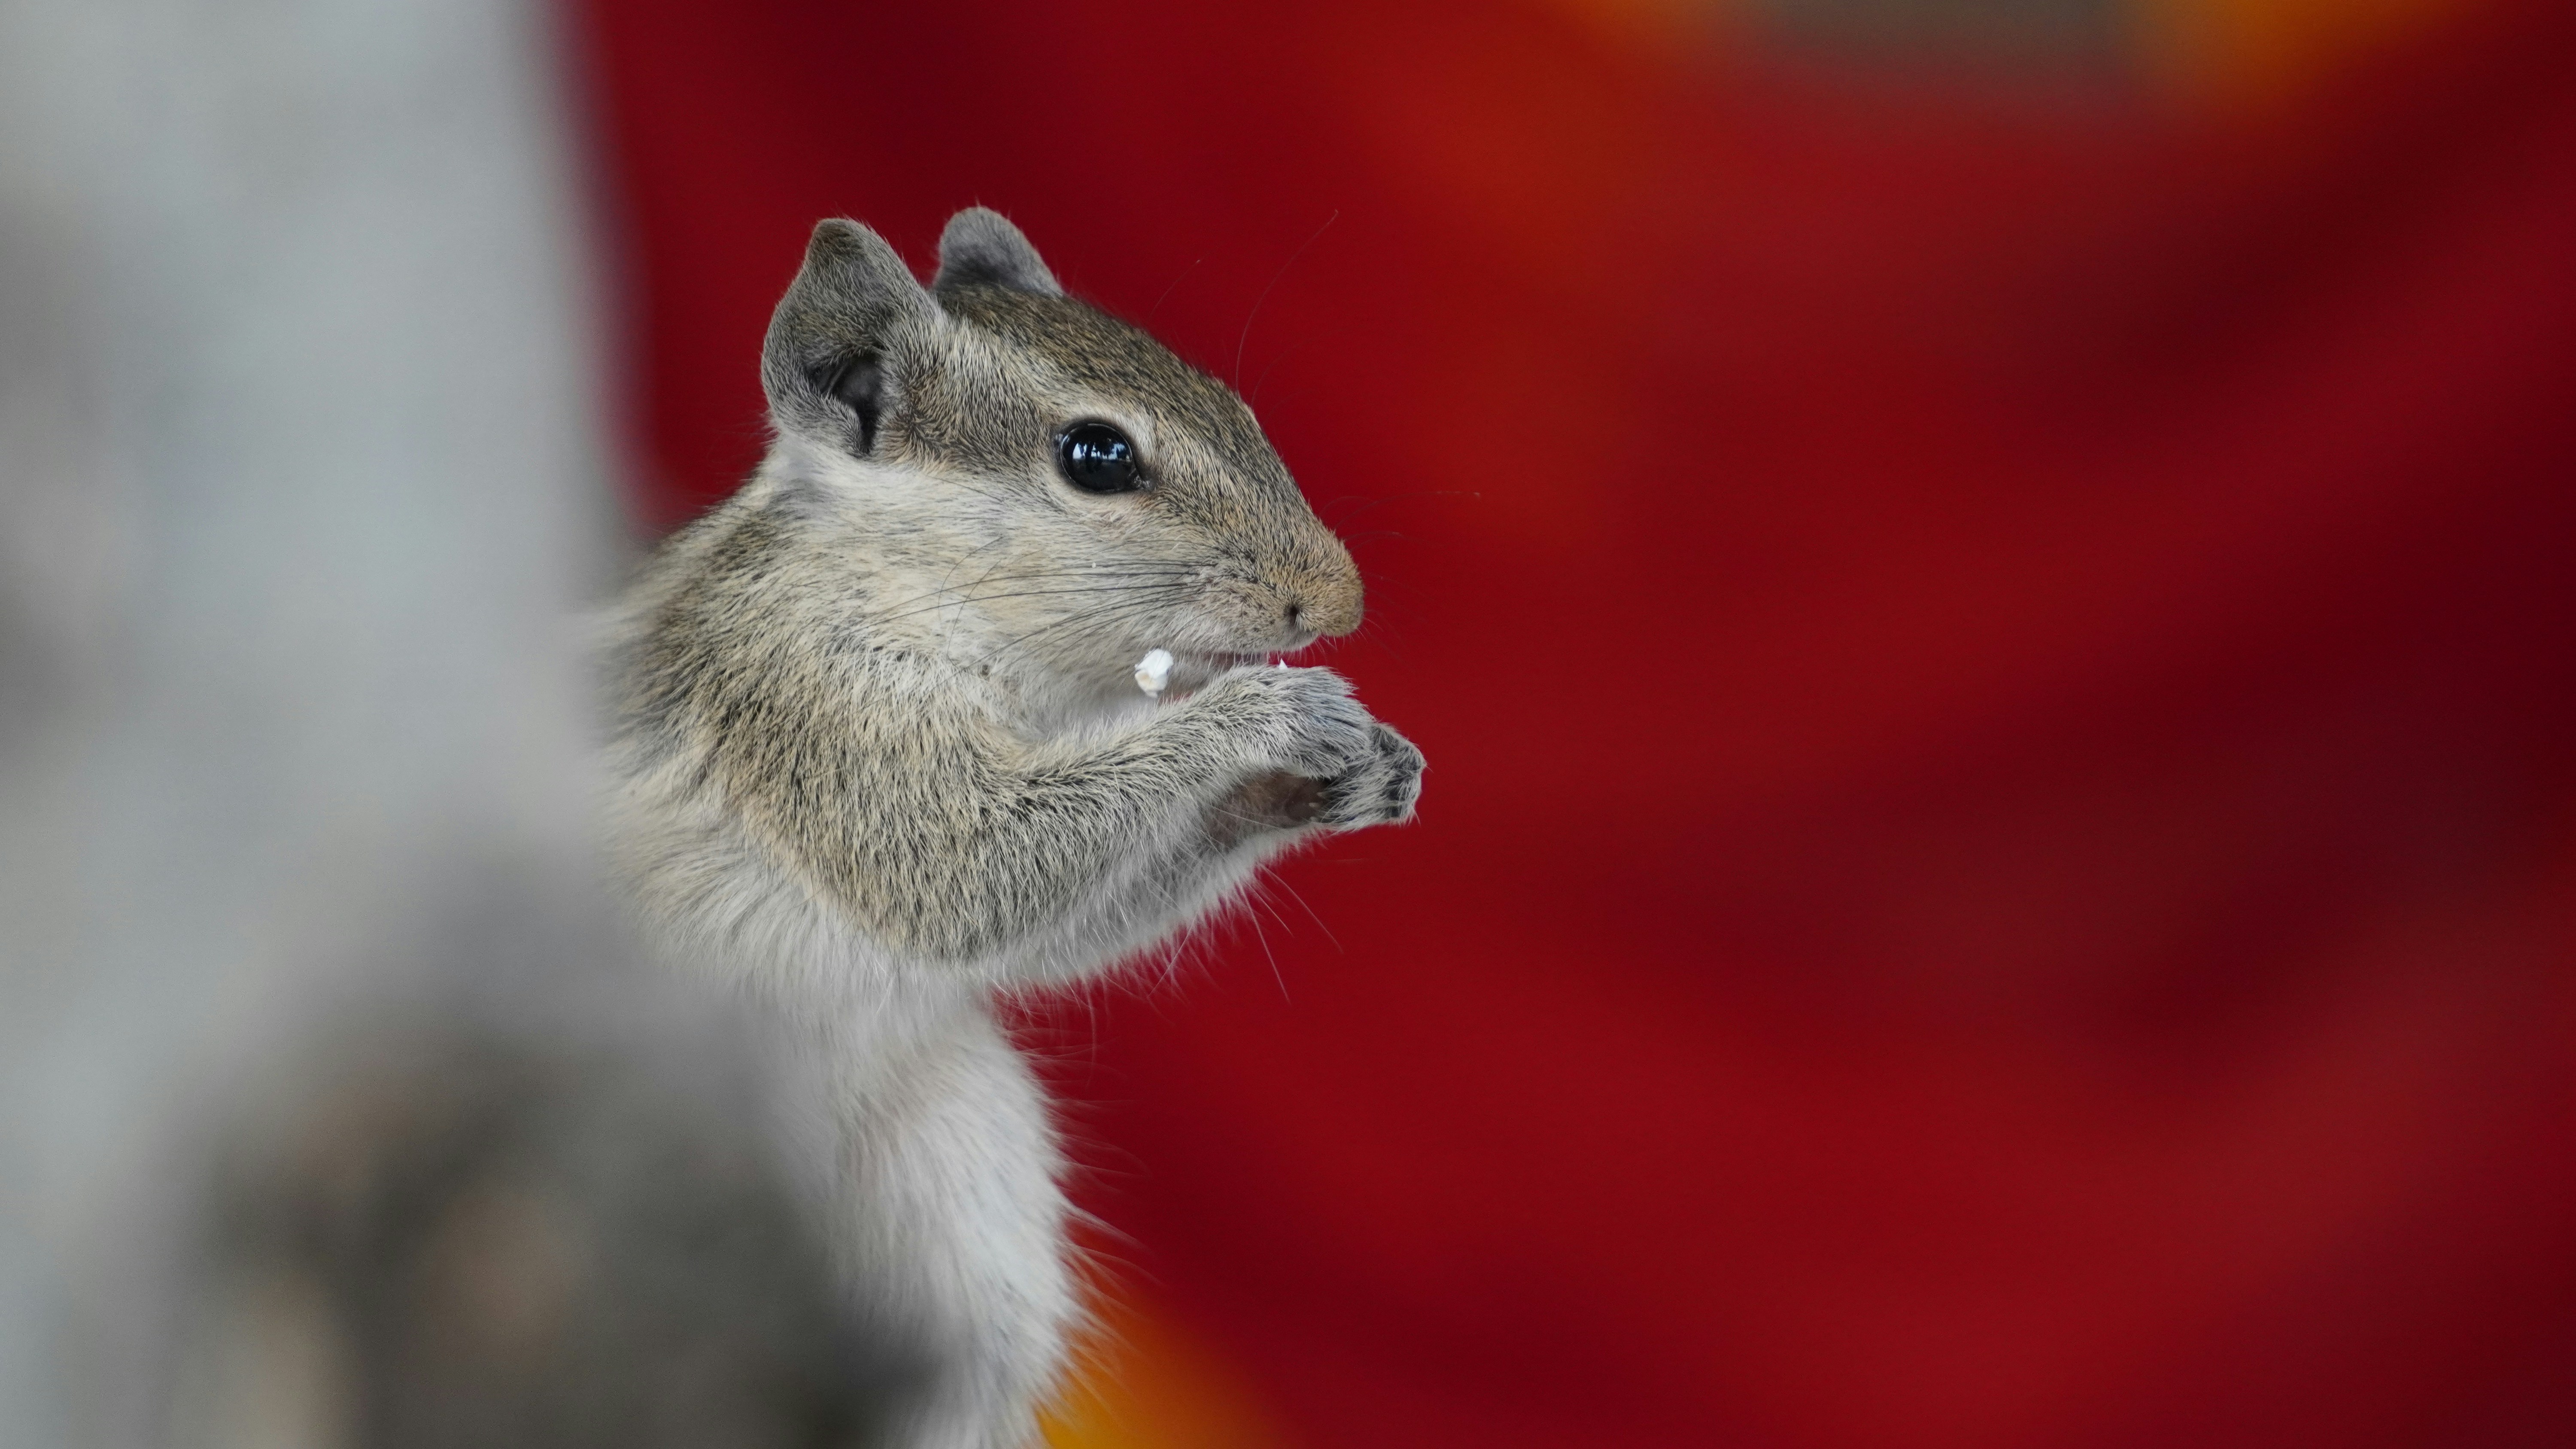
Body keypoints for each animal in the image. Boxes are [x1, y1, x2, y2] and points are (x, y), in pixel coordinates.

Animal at [604, 209, 1425, 1449]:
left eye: (1237, 406)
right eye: (1098, 457)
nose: (1339, 603)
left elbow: (1059, 926)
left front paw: (1348, 774)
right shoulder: (808, 699)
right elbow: (964, 871)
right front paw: (1259, 718)